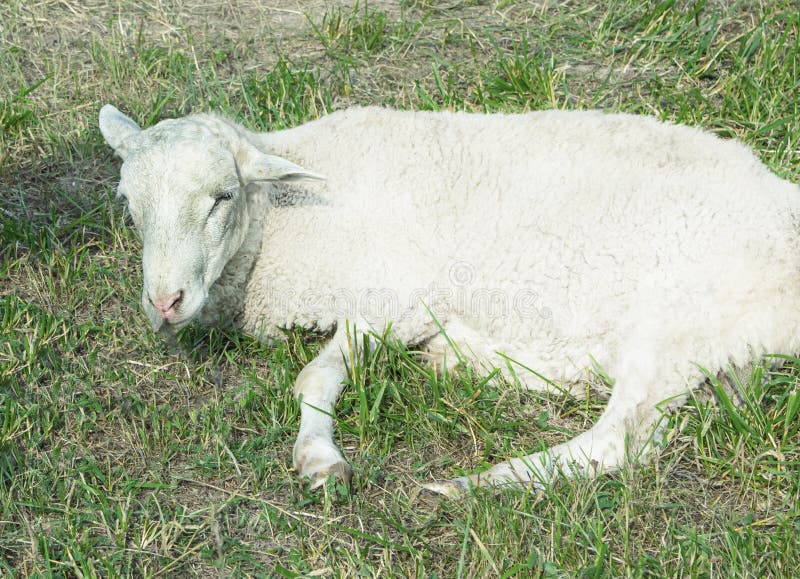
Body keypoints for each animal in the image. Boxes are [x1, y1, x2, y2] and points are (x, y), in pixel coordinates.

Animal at [99, 103, 800, 496]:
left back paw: (470, 485)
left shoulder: (396, 296)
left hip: (676, 319)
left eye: (222, 196)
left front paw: (321, 461)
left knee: (619, 440)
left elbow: (313, 377)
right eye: (128, 203)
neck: (286, 216)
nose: (165, 302)